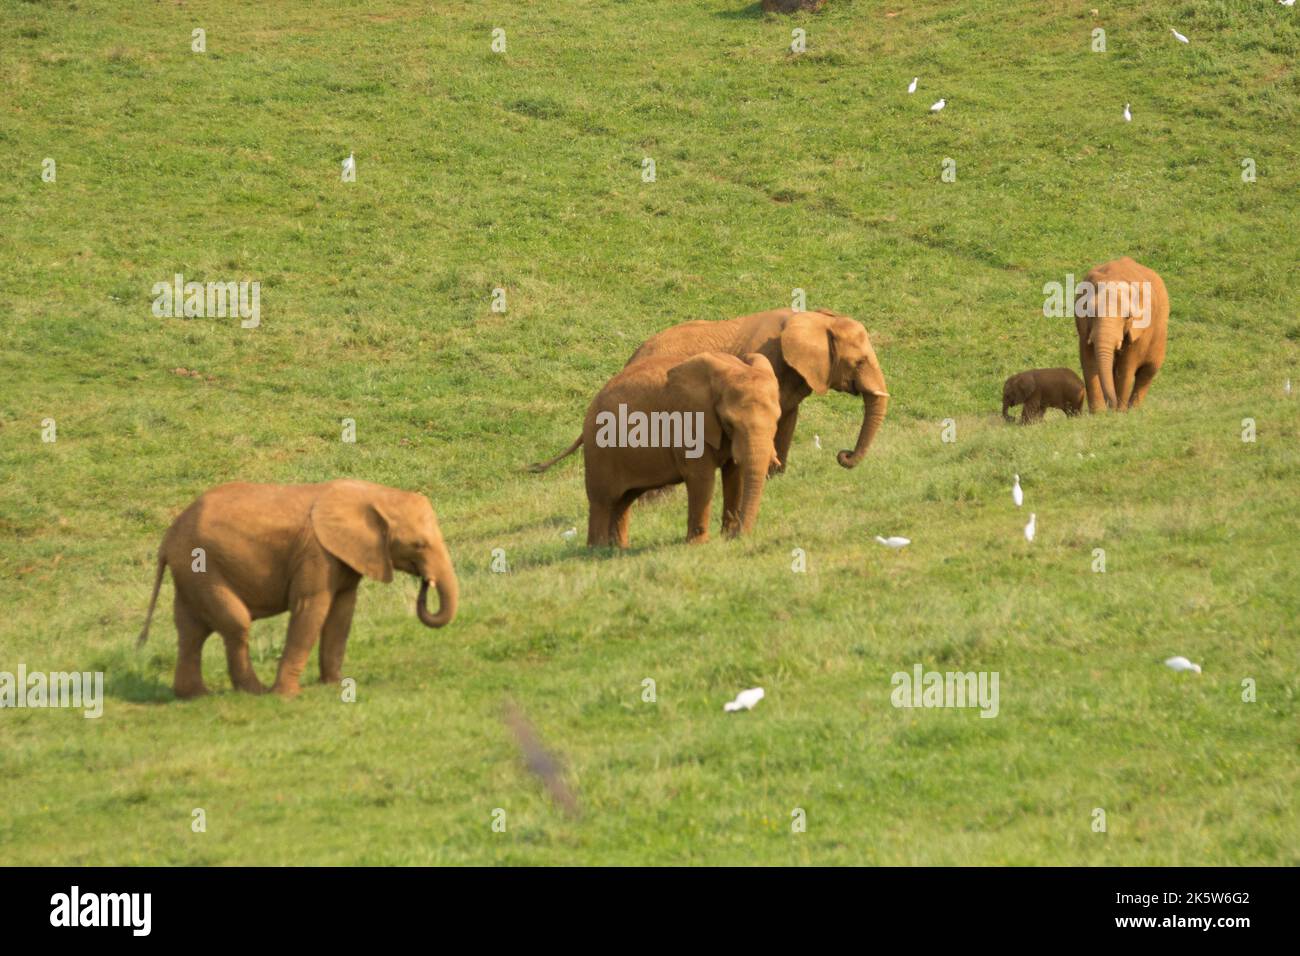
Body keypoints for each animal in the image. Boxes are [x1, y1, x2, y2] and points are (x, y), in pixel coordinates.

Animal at [137, 479, 458, 699]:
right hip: (201, 568)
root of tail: (167, 539)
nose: (425, 583)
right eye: (419, 545)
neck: (373, 494)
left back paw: (194, 696)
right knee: (235, 623)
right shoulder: (316, 554)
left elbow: (342, 613)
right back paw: (257, 692)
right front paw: (288, 696)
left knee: (191, 632)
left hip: (191, 576)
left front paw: (335, 685)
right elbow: (310, 608)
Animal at [531, 308, 888, 476]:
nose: (843, 455)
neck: (816, 318)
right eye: (858, 362)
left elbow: (787, 419)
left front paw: (775, 476)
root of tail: (629, 360)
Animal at [582, 352, 782, 547]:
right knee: (603, 501)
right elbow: (701, 477)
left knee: (624, 499)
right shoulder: (687, 424)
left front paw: (727, 537)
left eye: (777, 420)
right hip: (598, 449)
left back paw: (617, 548)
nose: (739, 536)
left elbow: (735, 475)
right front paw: (698, 544)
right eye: (729, 423)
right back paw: (598, 549)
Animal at [1074, 257, 1169, 412]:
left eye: (1127, 317)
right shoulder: (1083, 327)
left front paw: (1118, 413)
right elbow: (1089, 361)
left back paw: (1133, 410)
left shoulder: (1140, 331)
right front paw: (1099, 414)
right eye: (1090, 313)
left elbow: (1126, 368)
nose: (1111, 405)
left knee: (1147, 372)